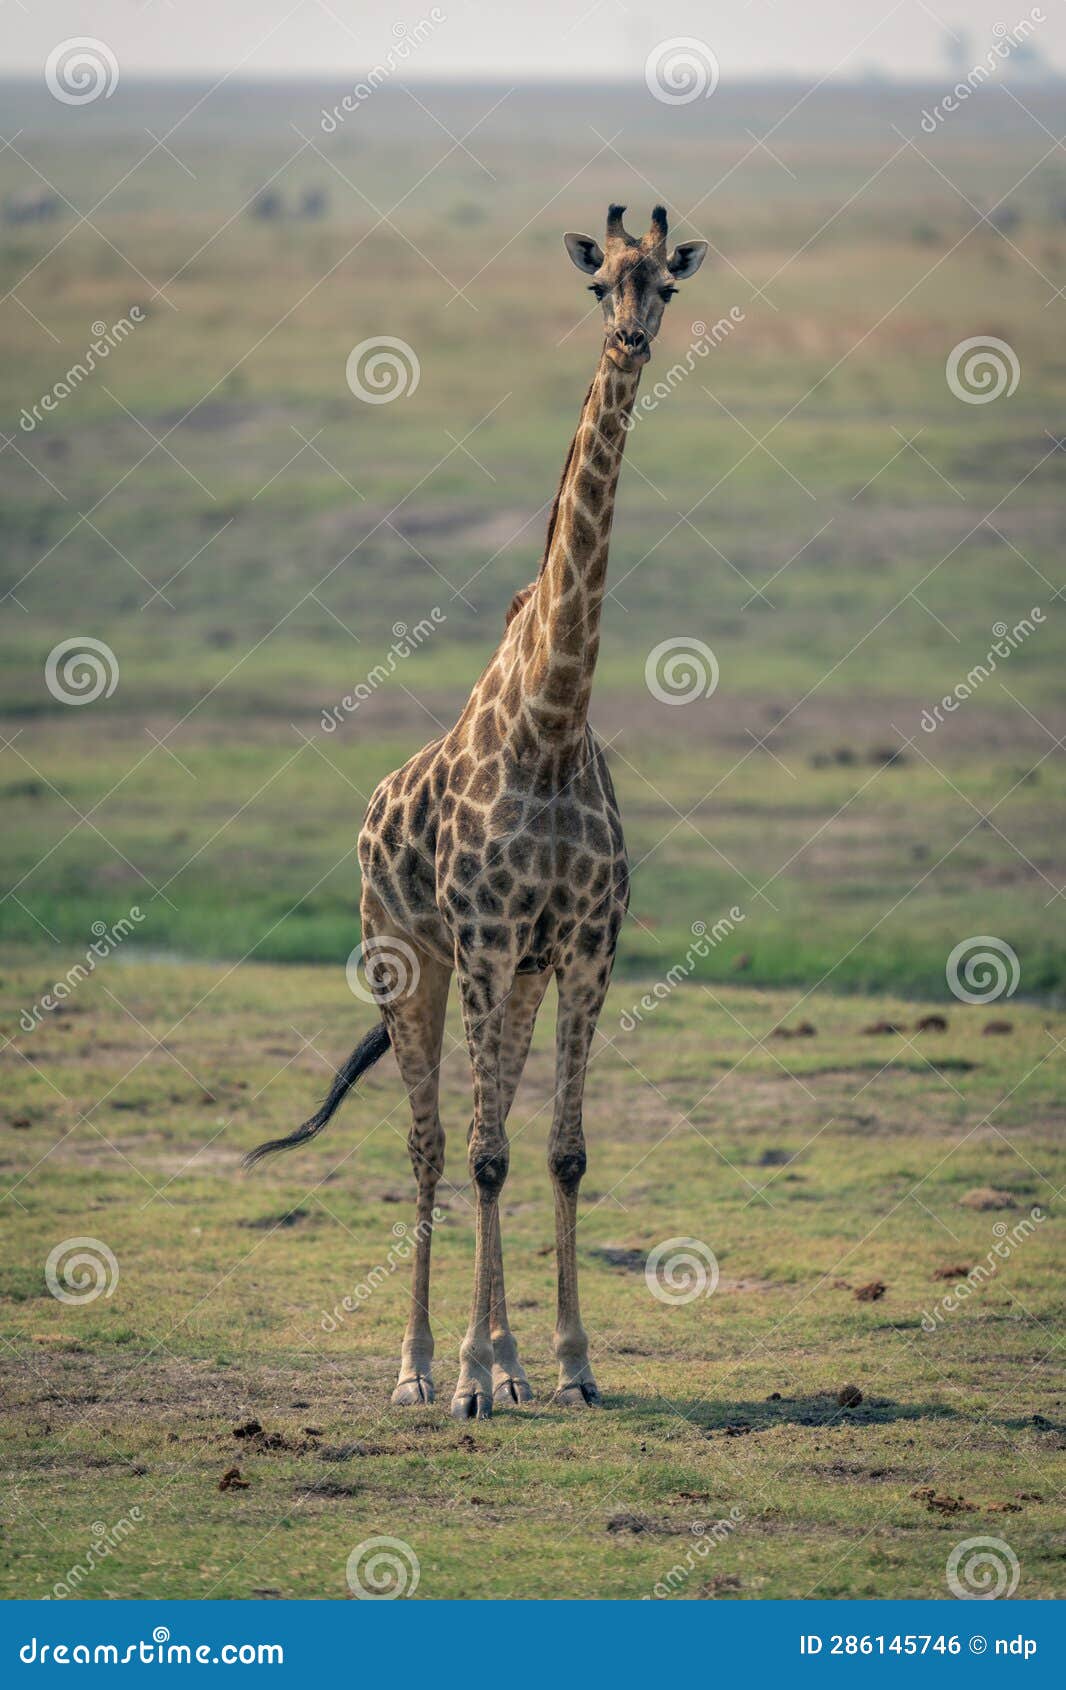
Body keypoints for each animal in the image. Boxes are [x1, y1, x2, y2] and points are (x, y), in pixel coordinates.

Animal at [247, 205, 707, 1418]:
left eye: (667, 286)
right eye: (598, 282)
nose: (631, 340)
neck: (549, 723)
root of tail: (368, 817)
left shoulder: (582, 947)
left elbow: (559, 1152)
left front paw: (572, 1363)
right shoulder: (488, 941)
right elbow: (482, 1152)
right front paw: (462, 1377)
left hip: (514, 976)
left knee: (486, 1121)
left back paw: (507, 1360)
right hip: (411, 958)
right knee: (432, 1143)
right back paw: (420, 1367)